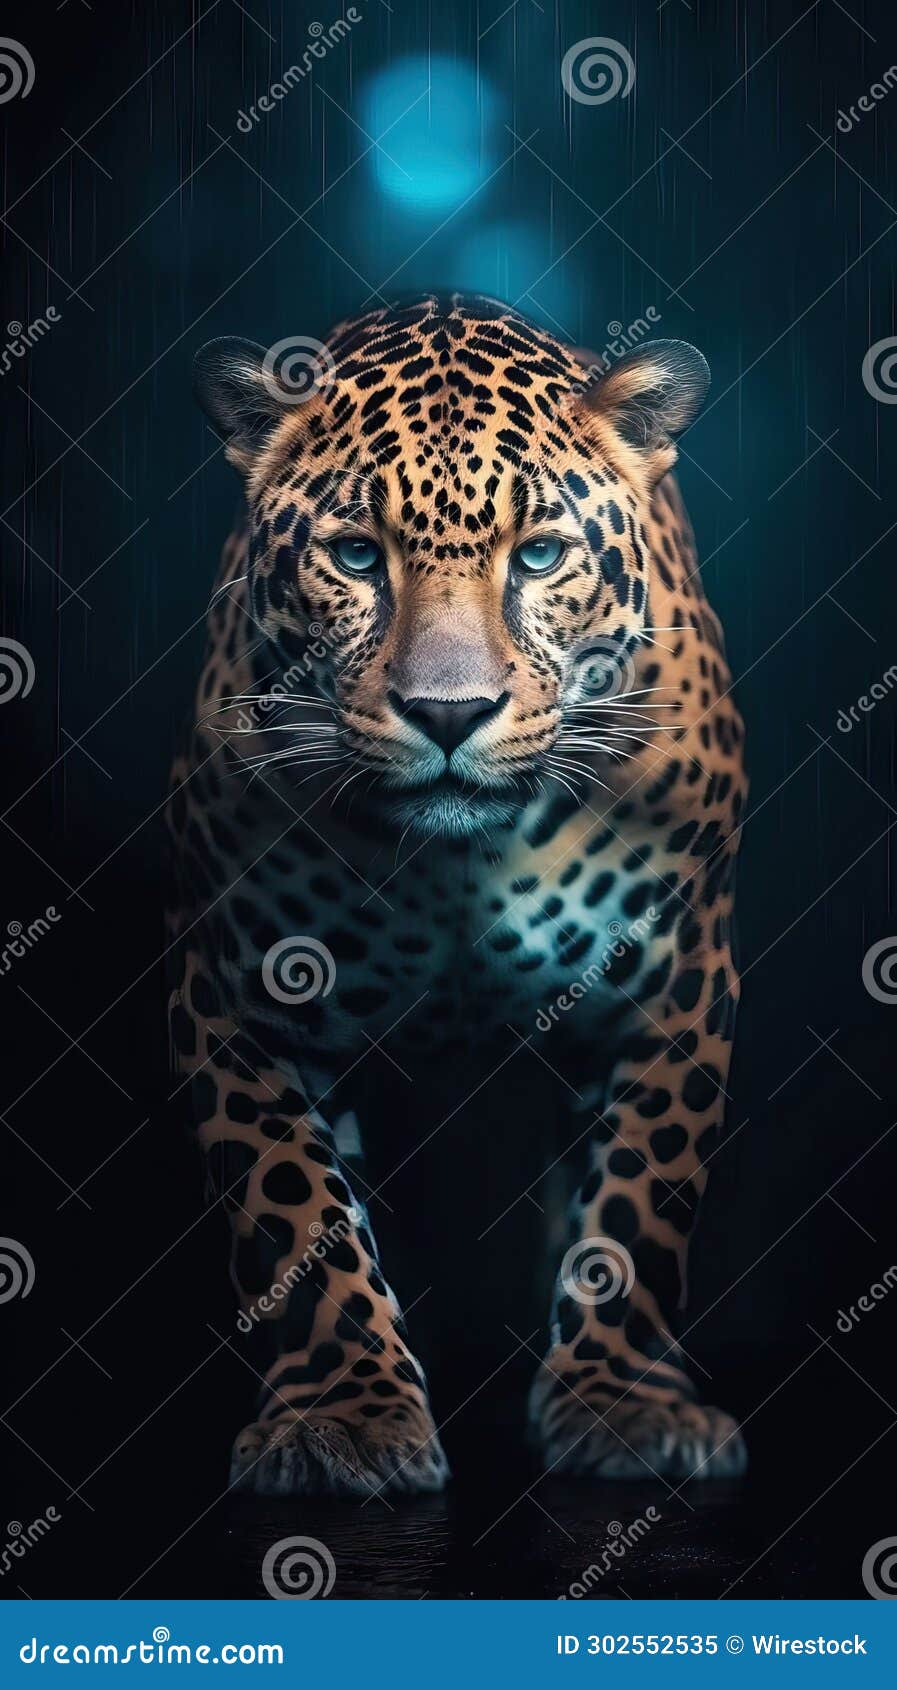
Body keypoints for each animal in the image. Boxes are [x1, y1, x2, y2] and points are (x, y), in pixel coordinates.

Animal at [165, 291, 748, 1498]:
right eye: (354, 555)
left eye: (539, 554)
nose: (447, 712)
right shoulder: (232, 990)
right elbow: (296, 1208)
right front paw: (344, 1417)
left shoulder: (677, 980)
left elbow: (638, 1205)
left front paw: (622, 1405)